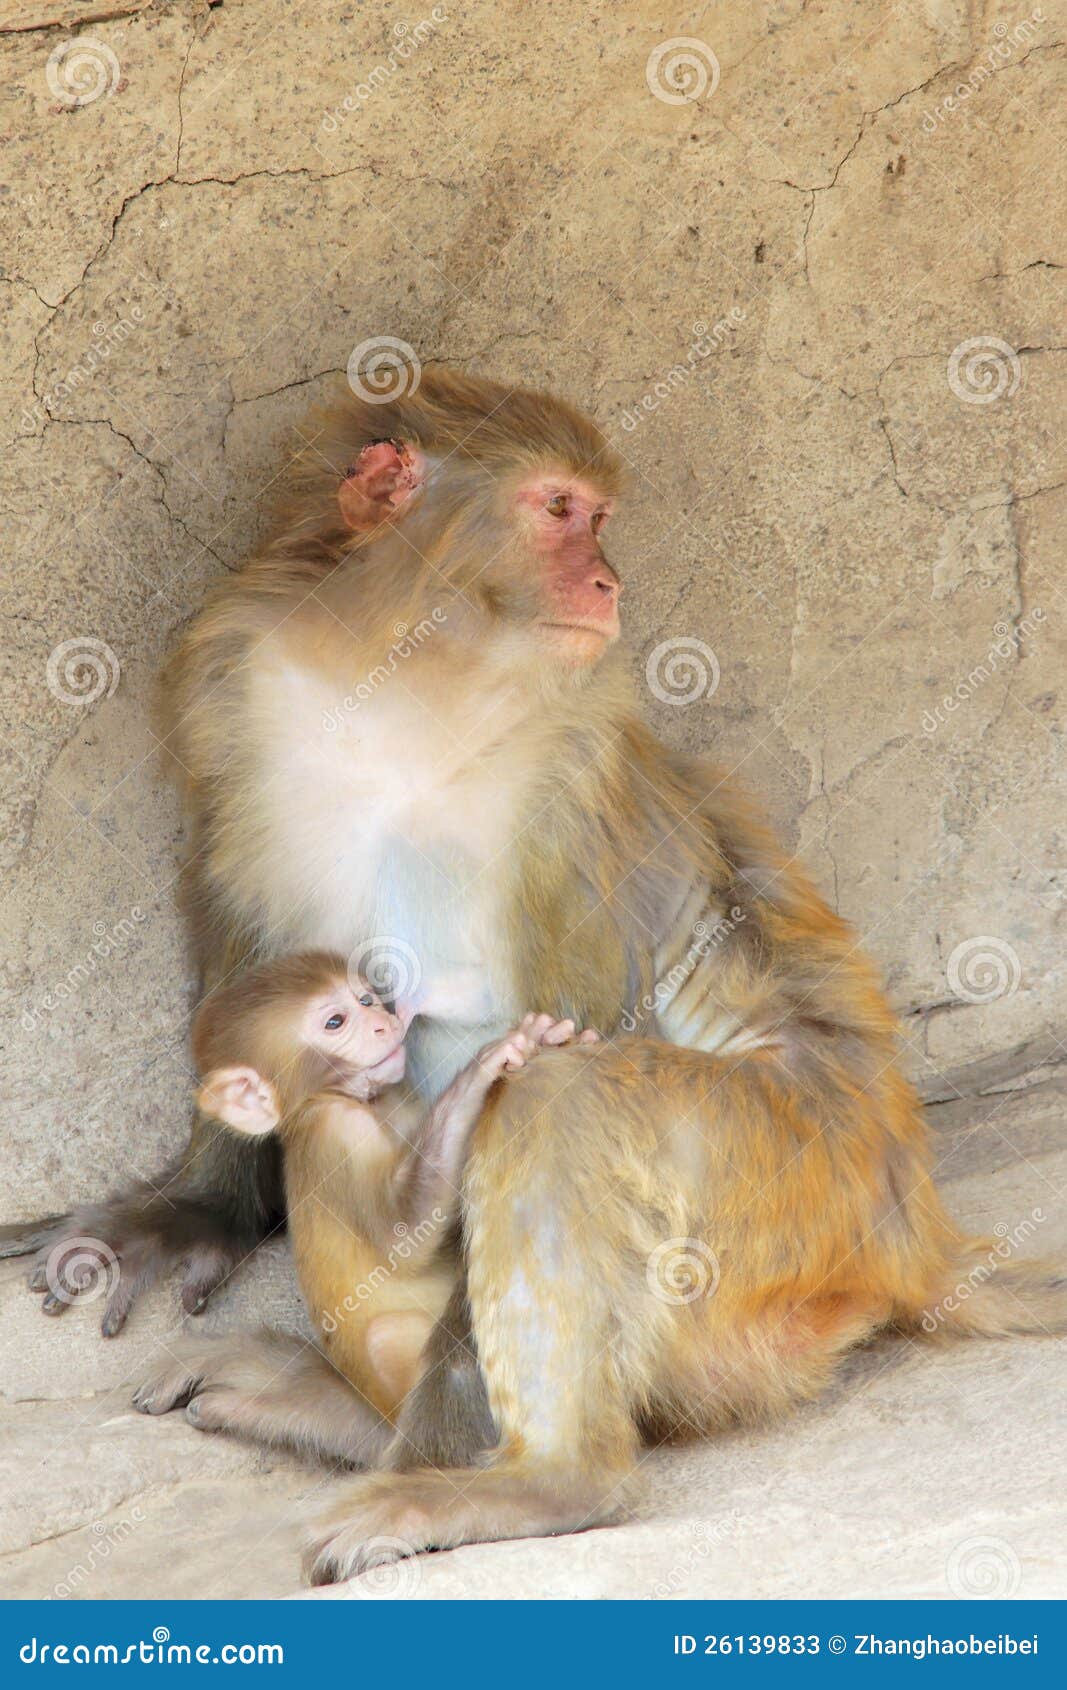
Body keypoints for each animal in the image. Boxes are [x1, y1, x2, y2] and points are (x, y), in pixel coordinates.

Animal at [133, 950, 588, 1460]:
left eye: (366, 999)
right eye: (336, 1021)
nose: (381, 1023)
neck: (359, 1100)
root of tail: (387, 1427)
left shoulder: (401, 1098)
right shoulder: (334, 1132)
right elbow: (403, 1234)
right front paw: (482, 1067)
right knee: (387, 1336)